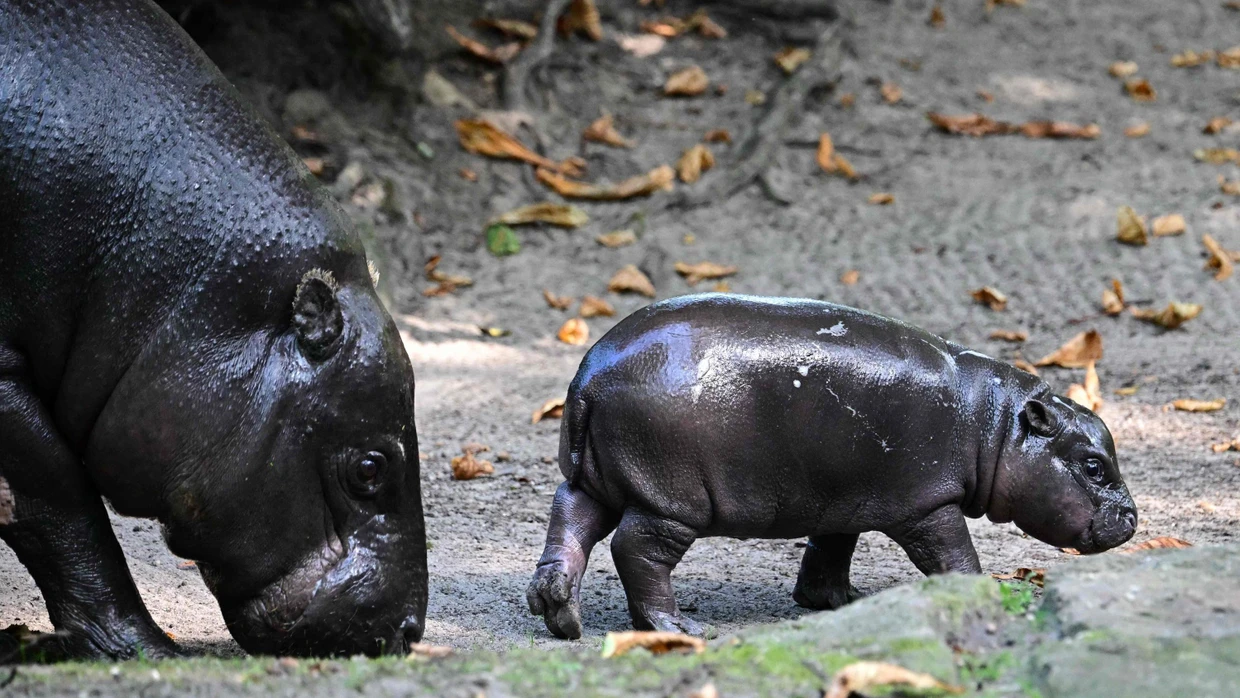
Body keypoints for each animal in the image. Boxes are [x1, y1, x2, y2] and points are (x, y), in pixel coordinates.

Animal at [528, 293, 1137, 638]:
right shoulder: (928, 505)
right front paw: (974, 591)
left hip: (599, 478)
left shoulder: (842, 497)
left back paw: (561, 616)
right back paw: (682, 629)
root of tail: (588, 375)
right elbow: (951, 554)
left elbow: (830, 550)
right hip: (672, 498)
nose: (1132, 518)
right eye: (1094, 466)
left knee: (570, 521)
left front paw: (840, 603)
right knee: (636, 550)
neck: (995, 422)